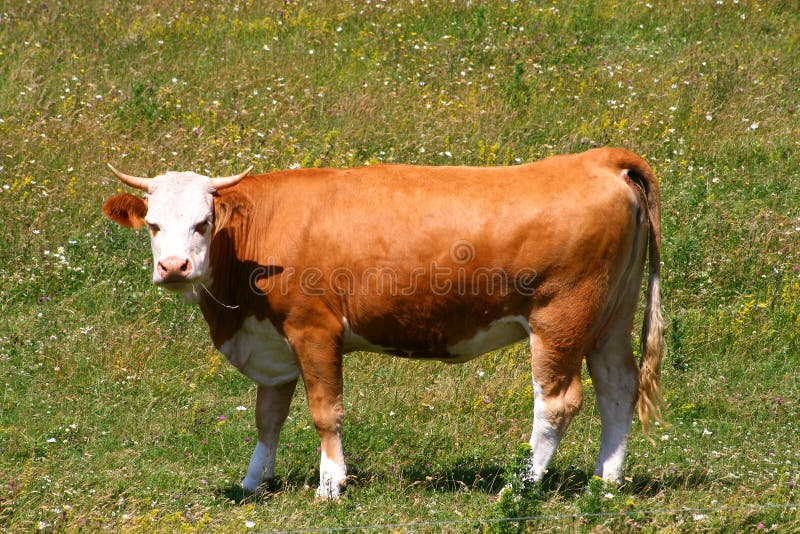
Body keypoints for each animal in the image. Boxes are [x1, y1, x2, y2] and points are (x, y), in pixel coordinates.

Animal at [101, 147, 665, 500]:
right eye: (153, 225)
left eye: (203, 223)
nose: (175, 267)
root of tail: (598, 158)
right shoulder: (272, 345)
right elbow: (268, 418)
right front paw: (253, 482)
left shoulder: (314, 330)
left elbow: (324, 412)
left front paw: (331, 485)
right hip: (610, 317)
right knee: (617, 388)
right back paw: (606, 482)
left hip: (561, 316)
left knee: (556, 402)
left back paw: (522, 485)